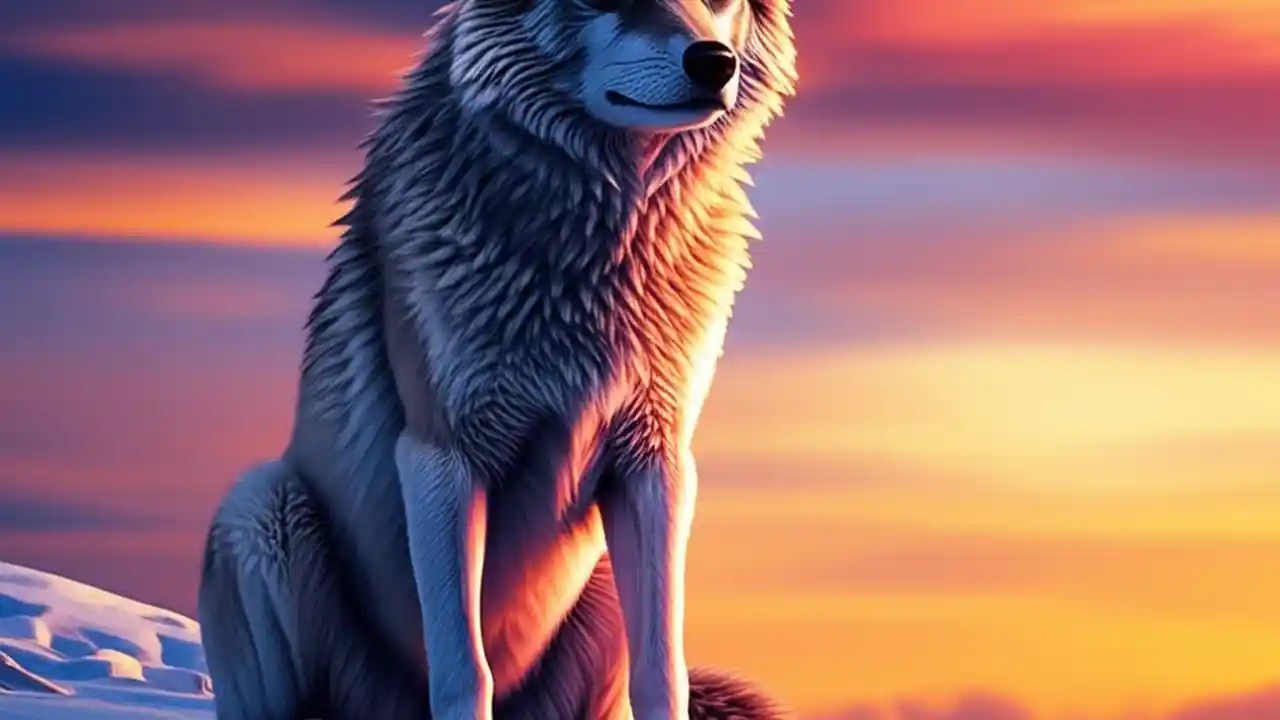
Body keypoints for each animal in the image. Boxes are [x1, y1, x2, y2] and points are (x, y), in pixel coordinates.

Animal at [198, 1, 797, 718]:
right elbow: (464, 672)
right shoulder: (440, 457)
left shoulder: (655, 462)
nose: (713, 62)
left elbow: (662, 672)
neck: (595, 258)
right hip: (259, 507)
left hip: (596, 586)